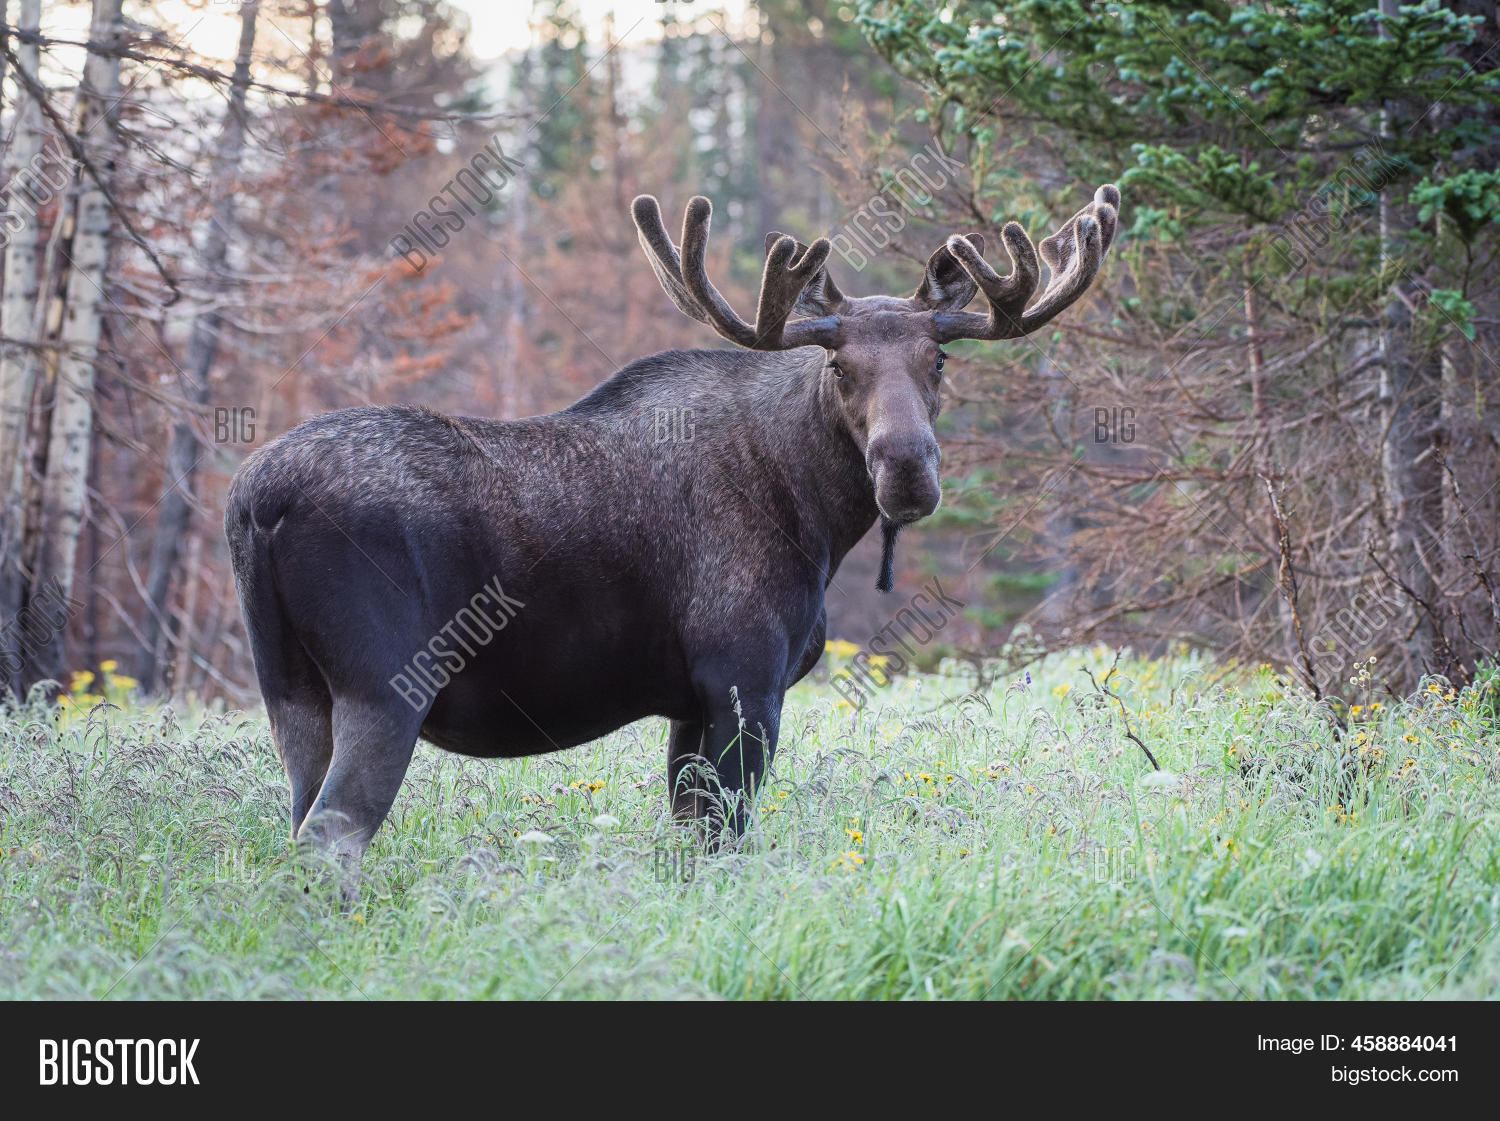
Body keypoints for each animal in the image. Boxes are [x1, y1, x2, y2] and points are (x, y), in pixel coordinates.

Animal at [224, 183, 1121, 879]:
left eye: (939, 361)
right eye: (840, 368)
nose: (906, 470)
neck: (817, 517)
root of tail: (253, 501)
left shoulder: (690, 702)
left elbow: (691, 839)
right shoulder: (743, 679)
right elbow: (723, 841)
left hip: (292, 693)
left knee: (296, 823)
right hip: (385, 687)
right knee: (329, 839)